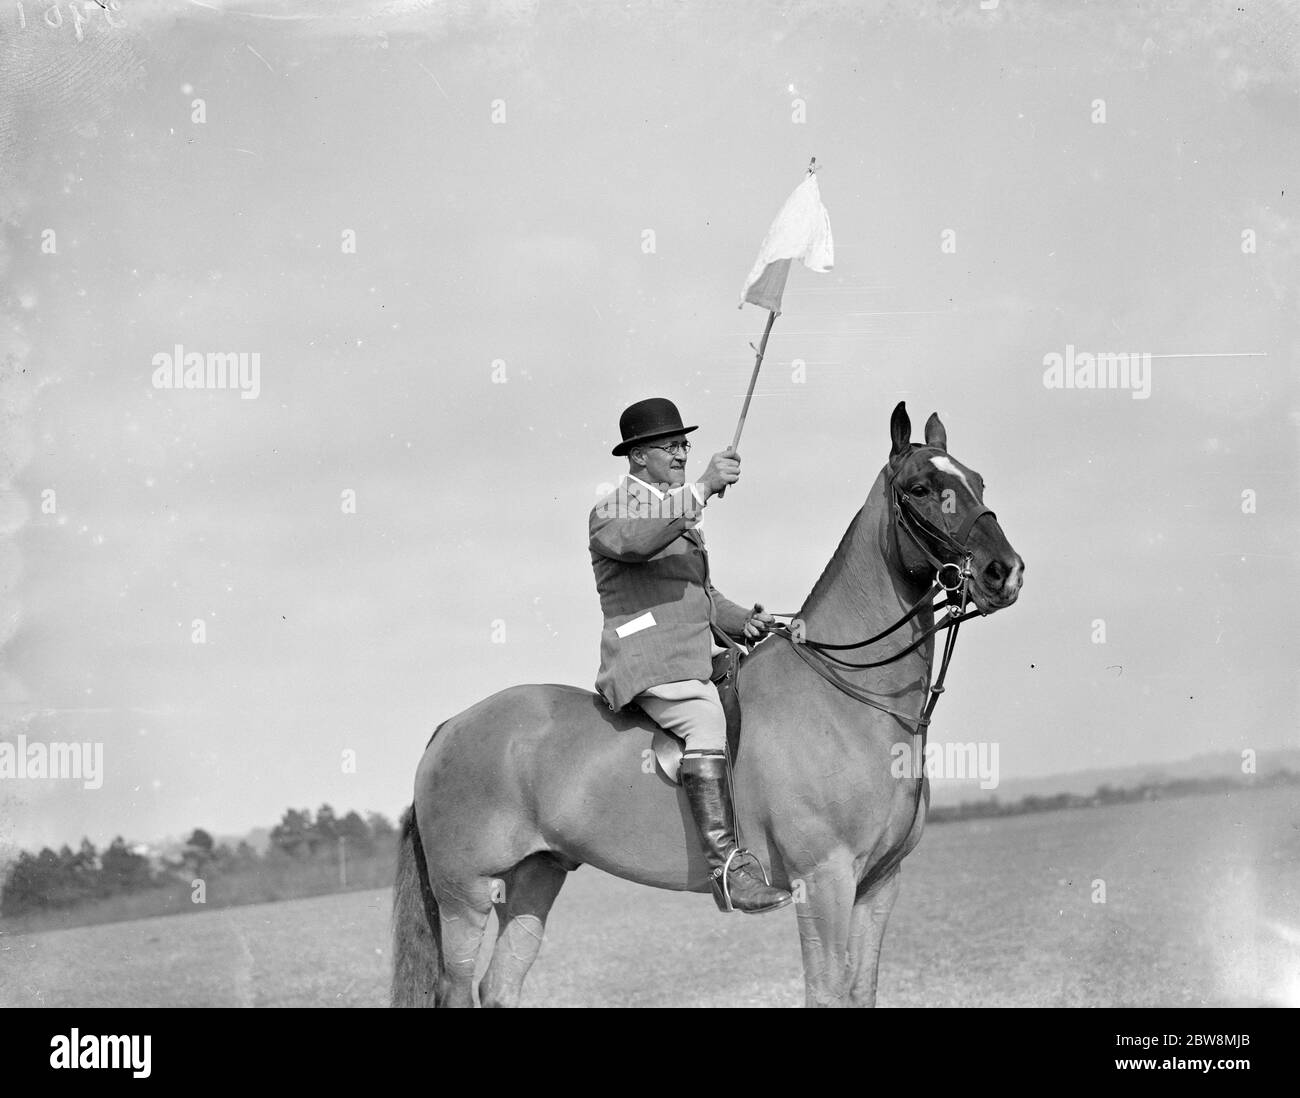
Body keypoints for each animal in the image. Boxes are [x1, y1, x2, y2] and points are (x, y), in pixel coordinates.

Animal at [391, 401, 1024, 1007]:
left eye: (978, 481)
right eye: (918, 488)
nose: (1006, 572)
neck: (844, 699)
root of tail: (450, 726)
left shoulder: (879, 885)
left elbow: (860, 991)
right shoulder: (824, 881)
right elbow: (826, 992)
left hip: (535, 878)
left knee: (500, 987)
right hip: (466, 896)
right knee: (458, 988)